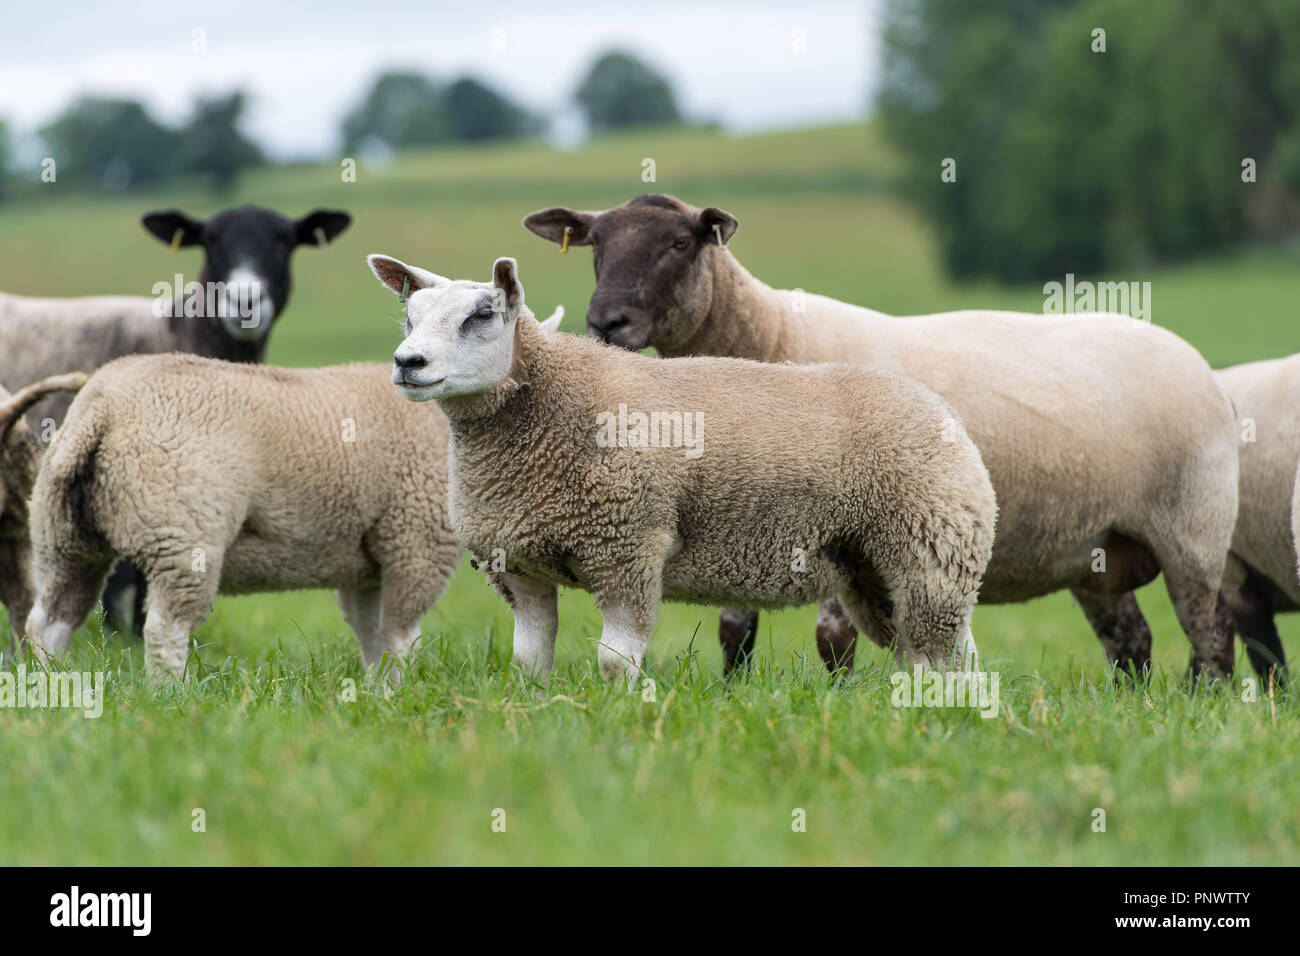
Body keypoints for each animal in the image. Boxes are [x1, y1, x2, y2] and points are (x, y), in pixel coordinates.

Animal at [23, 355, 460, 682]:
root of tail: (101, 408)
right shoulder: (415, 542)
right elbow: (399, 635)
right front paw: (403, 693)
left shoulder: (367, 566)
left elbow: (371, 634)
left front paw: (379, 691)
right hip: (183, 531)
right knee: (164, 630)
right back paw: (173, 697)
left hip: (62, 534)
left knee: (49, 621)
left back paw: (53, 686)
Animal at [367, 253, 998, 683]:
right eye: (409, 316)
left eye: (482, 314)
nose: (407, 362)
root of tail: (939, 408)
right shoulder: (518, 563)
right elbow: (528, 661)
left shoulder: (627, 547)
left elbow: (614, 661)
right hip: (872, 570)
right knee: (928, 654)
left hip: (932, 551)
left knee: (947, 653)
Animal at [523, 193, 1242, 679]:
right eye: (594, 245)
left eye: (680, 244)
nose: (606, 322)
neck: (774, 337)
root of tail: (1199, 363)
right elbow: (735, 630)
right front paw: (732, 693)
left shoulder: (841, 519)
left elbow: (833, 642)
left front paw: (840, 701)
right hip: (1097, 552)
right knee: (1132, 645)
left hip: (1195, 529)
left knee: (1211, 635)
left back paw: (1201, 702)